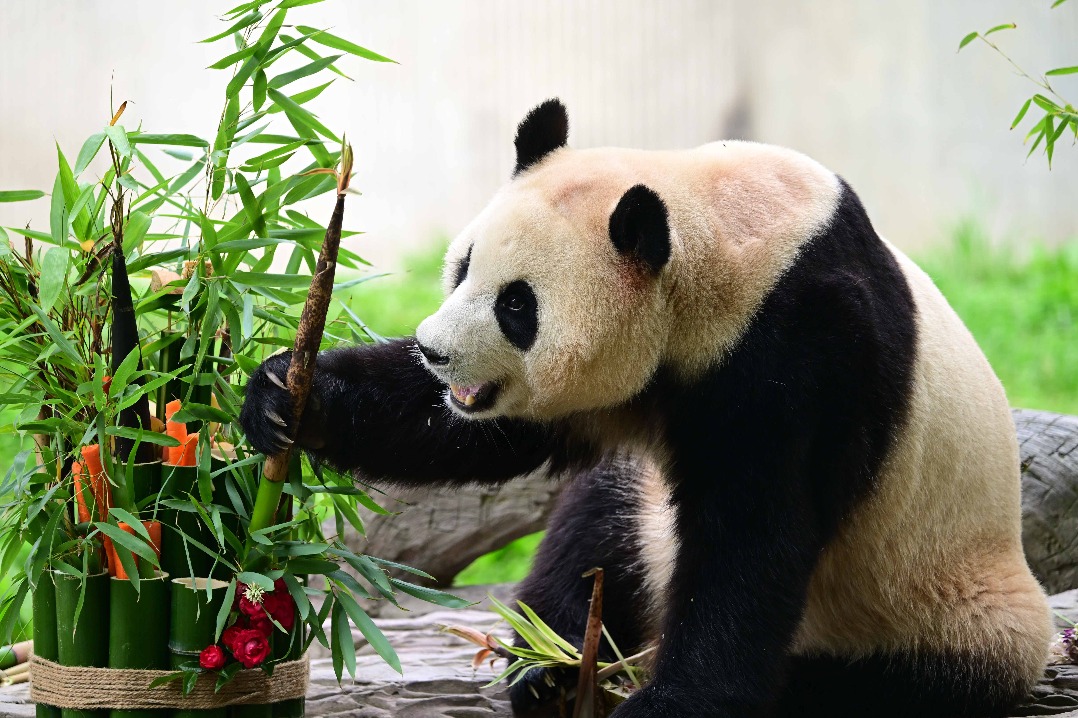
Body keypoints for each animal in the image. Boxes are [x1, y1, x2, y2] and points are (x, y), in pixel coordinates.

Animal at [240, 99, 1051, 718]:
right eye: (463, 267)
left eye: (516, 306)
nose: (436, 353)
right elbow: (476, 434)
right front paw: (286, 397)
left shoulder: (809, 345)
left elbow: (755, 534)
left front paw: (673, 702)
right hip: (646, 509)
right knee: (600, 529)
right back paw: (551, 667)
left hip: (936, 610)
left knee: (858, 685)